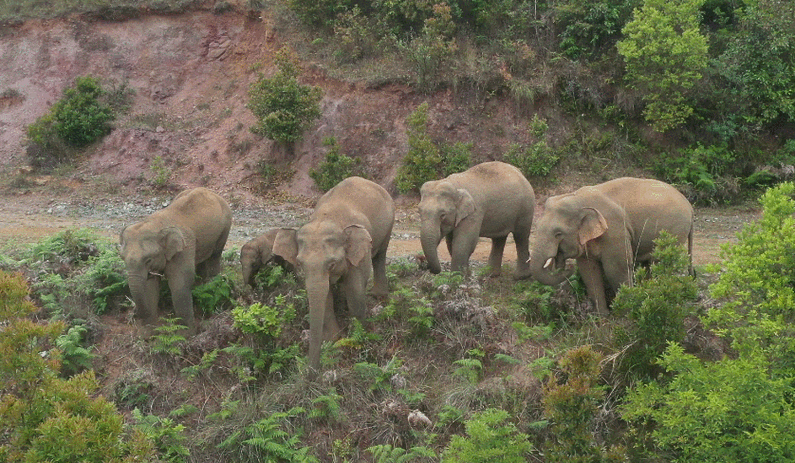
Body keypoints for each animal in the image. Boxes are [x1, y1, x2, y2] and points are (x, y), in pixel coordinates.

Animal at [119, 187, 232, 334]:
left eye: (148, 260)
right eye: (122, 258)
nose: (134, 314)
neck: (155, 223)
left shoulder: (183, 249)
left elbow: (180, 282)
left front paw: (186, 335)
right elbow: (151, 286)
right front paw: (149, 334)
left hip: (225, 226)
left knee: (215, 255)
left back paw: (213, 281)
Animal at [271, 176, 395, 372]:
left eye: (332, 264)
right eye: (300, 264)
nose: (312, 373)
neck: (328, 218)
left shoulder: (358, 254)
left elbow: (354, 291)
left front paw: (358, 335)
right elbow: (326, 296)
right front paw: (334, 339)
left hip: (388, 223)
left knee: (380, 256)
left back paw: (379, 296)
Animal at [528, 177, 694, 315]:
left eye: (558, 233)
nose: (568, 268)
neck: (578, 198)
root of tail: (690, 207)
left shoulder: (615, 231)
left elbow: (615, 269)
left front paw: (626, 315)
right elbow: (589, 271)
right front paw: (602, 317)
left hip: (674, 230)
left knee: (660, 263)